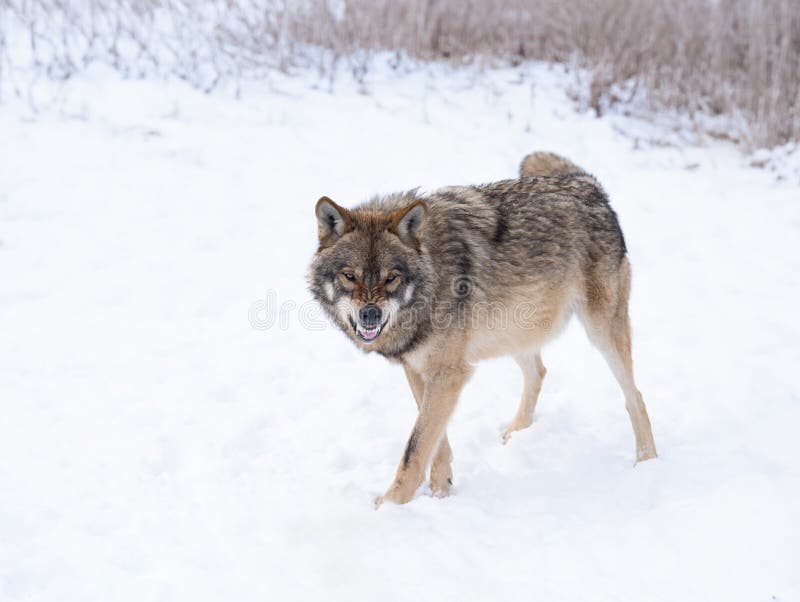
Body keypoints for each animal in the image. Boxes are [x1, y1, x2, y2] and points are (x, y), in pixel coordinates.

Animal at [308, 151, 657, 506]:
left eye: (391, 278)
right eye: (349, 276)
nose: (370, 315)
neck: (433, 275)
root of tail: (587, 184)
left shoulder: (448, 373)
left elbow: (416, 447)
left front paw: (391, 504)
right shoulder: (420, 371)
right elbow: (435, 440)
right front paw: (441, 490)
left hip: (600, 331)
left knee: (635, 397)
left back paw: (647, 461)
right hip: (514, 329)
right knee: (539, 372)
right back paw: (517, 433)